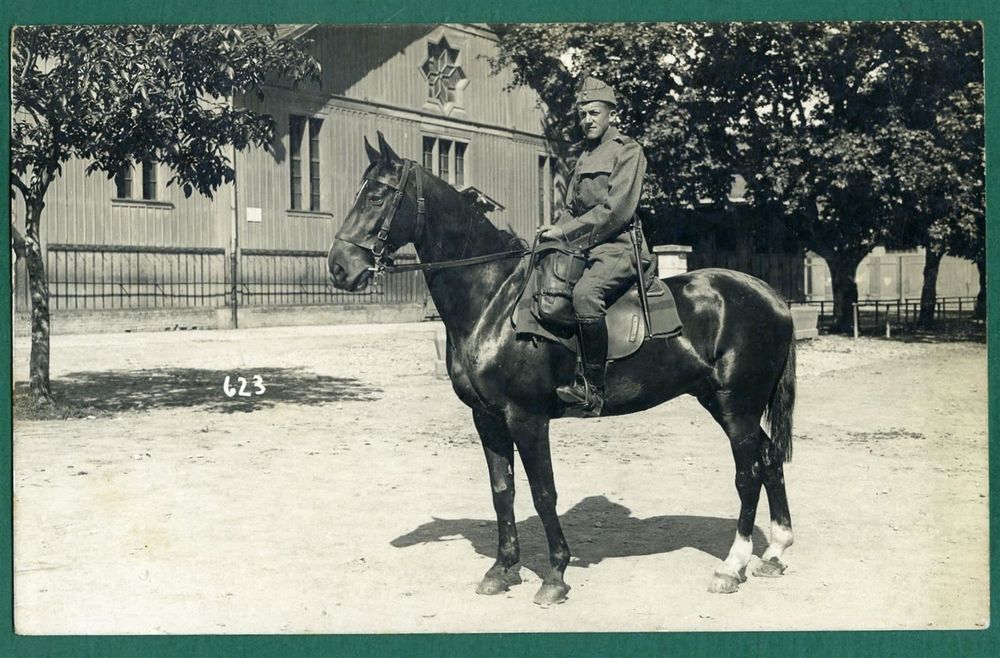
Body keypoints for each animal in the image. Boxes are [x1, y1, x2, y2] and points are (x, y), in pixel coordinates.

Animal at [328, 132, 797, 605]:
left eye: (377, 195)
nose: (339, 266)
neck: (494, 299)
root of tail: (768, 295)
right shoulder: (487, 418)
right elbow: (502, 492)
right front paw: (502, 569)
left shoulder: (527, 419)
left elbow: (543, 493)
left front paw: (554, 574)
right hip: (722, 403)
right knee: (770, 458)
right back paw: (775, 553)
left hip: (736, 406)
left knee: (748, 473)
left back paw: (732, 566)